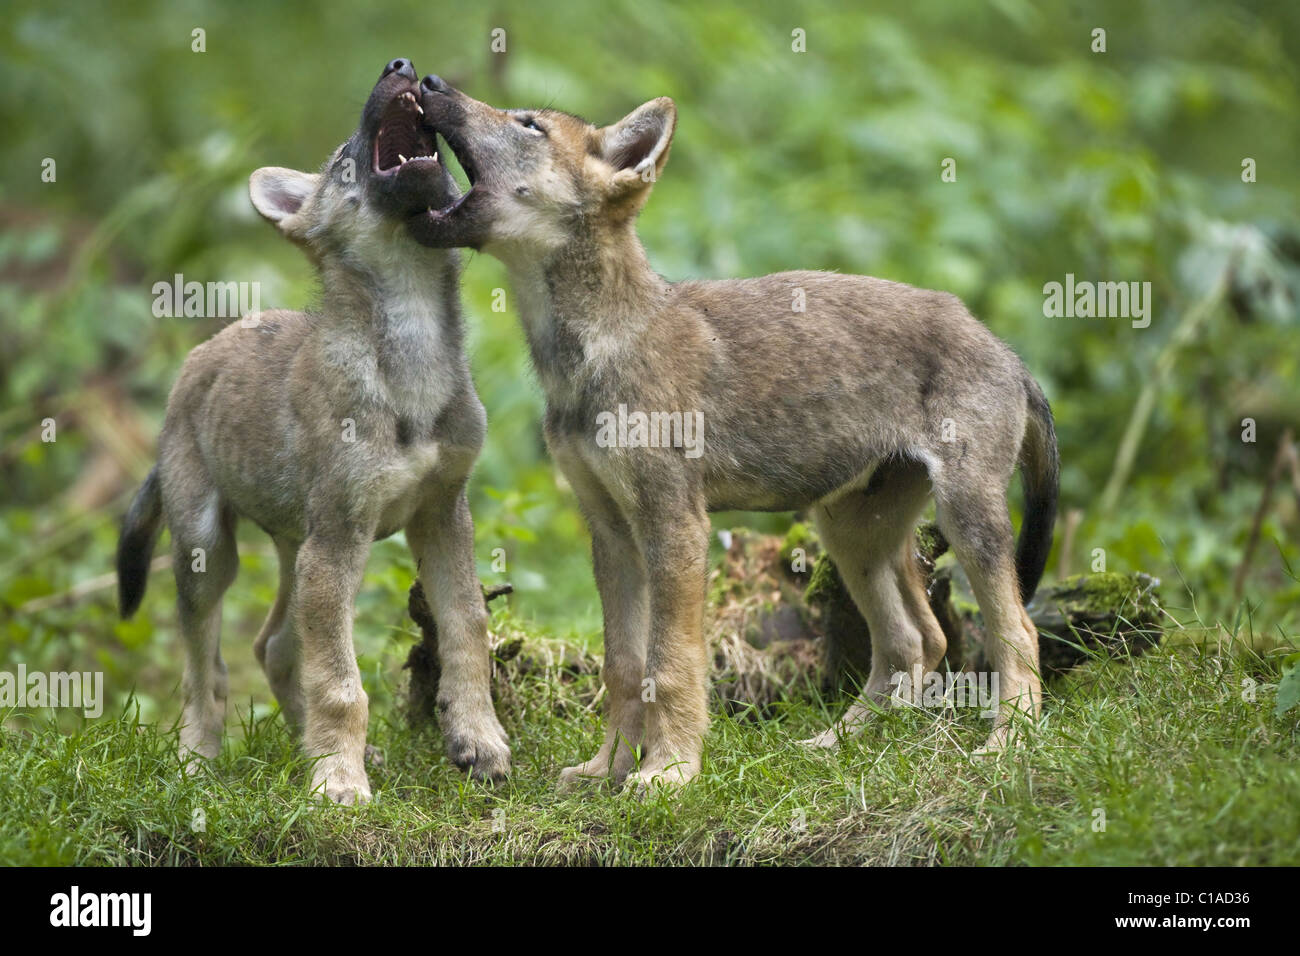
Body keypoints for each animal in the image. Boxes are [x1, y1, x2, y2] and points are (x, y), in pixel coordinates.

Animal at [115, 60, 510, 805]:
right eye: (341, 161)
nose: (399, 65)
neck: (411, 361)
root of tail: (199, 358)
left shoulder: (443, 515)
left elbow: (467, 632)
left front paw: (479, 742)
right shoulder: (340, 540)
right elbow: (340, 685)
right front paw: (338, 784)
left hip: (299, 551)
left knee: (272, 648)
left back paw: (320, 749)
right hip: (212, 552)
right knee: (206, 670)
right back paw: (198, 763)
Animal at [407, 76, 1058, 794]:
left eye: (529, 125)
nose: (430, 82)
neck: (591, 351)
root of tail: (1010, 355)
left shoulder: (676, 526)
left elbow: (671, 667)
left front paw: (667, 774)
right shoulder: (611, 532)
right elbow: (623, 668)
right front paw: (607, 771)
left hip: (965, 520)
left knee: (1016, 634)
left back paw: (1007, 746)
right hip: (852, 533)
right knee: (916, 640)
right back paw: (838, 743)